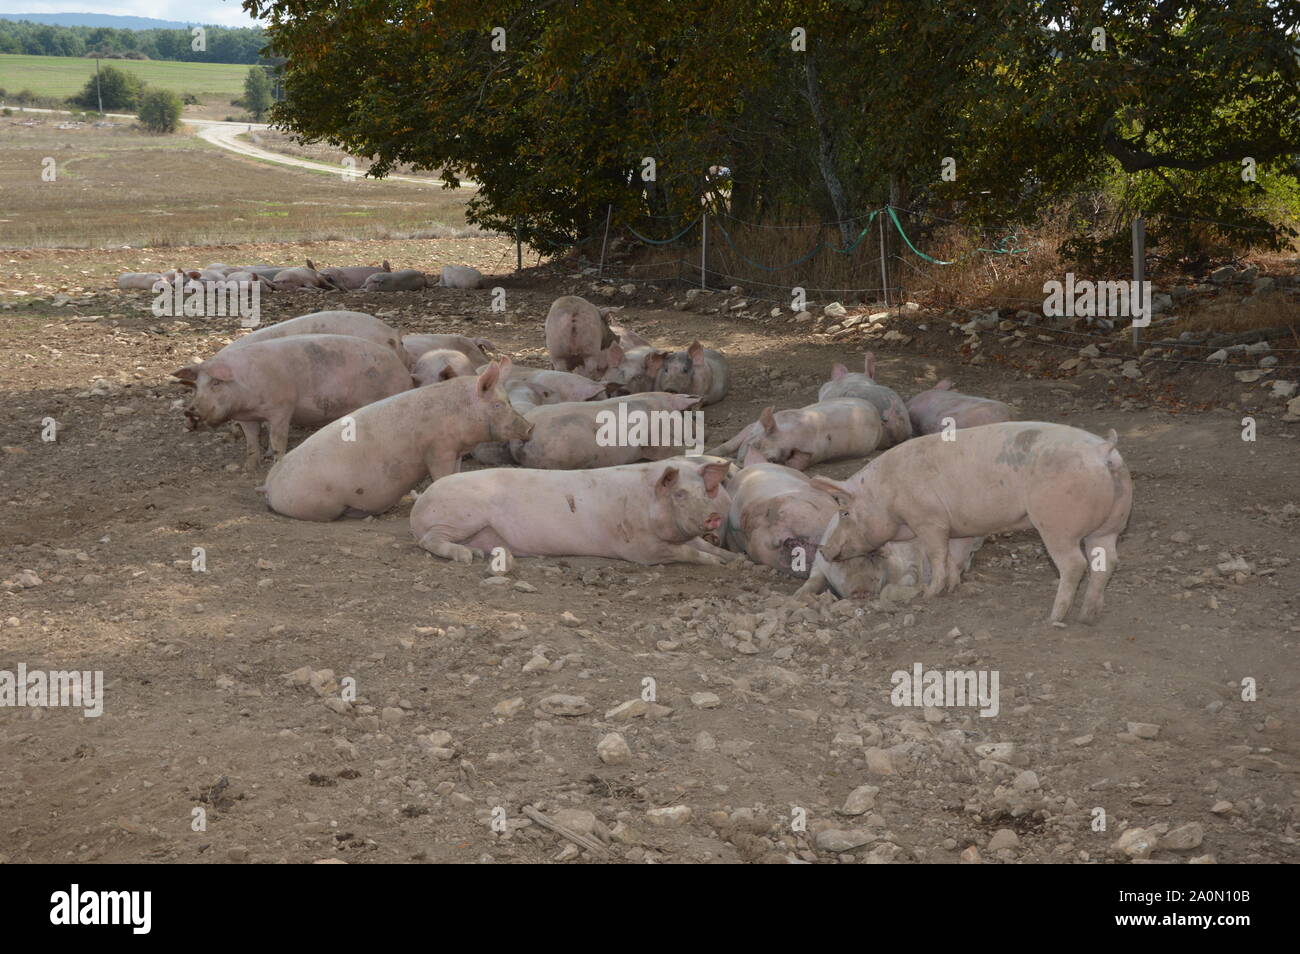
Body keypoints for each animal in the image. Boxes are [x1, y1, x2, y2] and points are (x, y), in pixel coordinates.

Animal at [170, 334, 413, 469]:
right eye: (197, 385)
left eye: (216, 383)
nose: (190, 410)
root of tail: (404, 373)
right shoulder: (247, 418)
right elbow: (251, 444)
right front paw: (247, 468)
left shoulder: (281, 408)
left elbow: (278, 441)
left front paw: (275, 465)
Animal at [261, 358, 531, 521]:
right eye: (498, 404)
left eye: (509, 400)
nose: (530, 427)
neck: (460, 410)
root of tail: (270, 485)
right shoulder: (439, 448)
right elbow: (441, 475)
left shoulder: (455, 451)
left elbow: (454, 474)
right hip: (321, 505)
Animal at [410, 458, 736, 565]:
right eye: (680, 494)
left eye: (704, 492)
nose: (713, 516)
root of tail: (420, 500)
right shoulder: (639, 549)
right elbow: (689, 552)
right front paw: (717, 563)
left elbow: (700, 544)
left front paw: (734, 559)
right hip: (460, 516)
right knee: (427, 540)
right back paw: (468, 556)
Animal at [708, 398, 883, 470]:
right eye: (755, 445)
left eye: (773, 460)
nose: (745, 464)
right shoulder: (753, 426)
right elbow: (728, 444)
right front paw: (711, 452)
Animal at [811, 422, 1132, 623]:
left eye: (844, 513)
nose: (824, 550)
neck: (886, 492)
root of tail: (1103, 450)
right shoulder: (961, 529)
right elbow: (955, 558)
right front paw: (953, 589)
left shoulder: (928, 519)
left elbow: (937, 555)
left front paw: (929, 594)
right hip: (1111, 526)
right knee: (1107, 562)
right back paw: (1088, 616)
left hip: (1057, 524)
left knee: (1075, 564)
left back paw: (1052, 617)